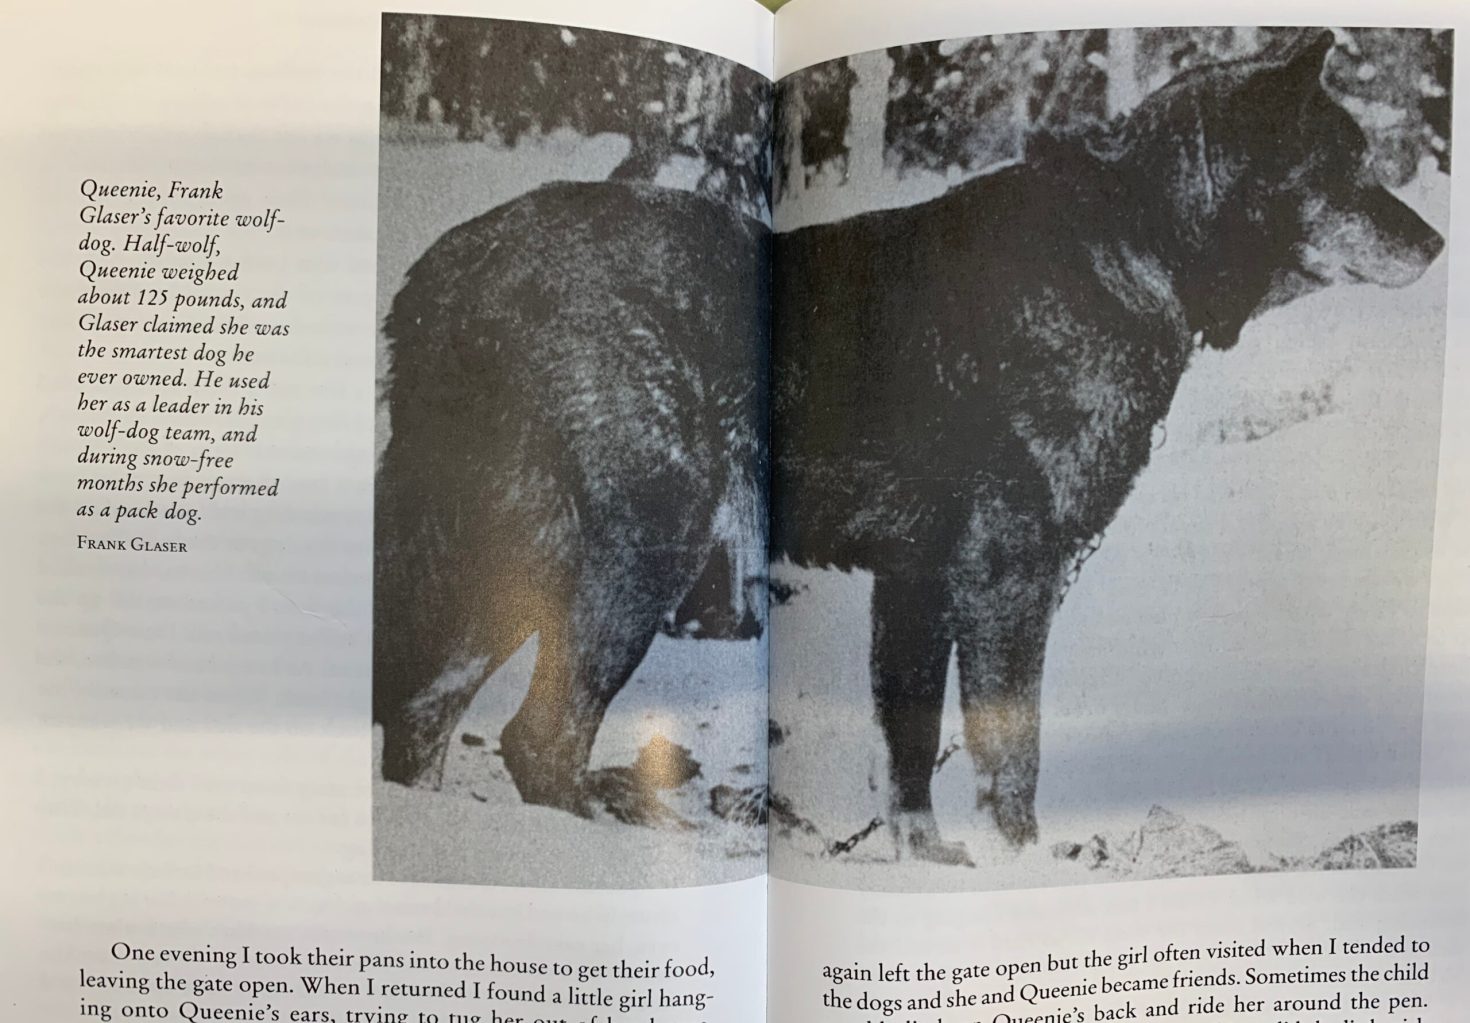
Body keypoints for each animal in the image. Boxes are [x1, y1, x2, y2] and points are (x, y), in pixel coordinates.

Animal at [772, 31, 1444, 864]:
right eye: (1348, 162)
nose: (1438, 241)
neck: (1132, 248)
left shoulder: (913, 579)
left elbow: (910, 753)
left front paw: (931, 869)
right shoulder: (1006, 569)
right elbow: (1012, 754)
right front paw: (1022, 862)